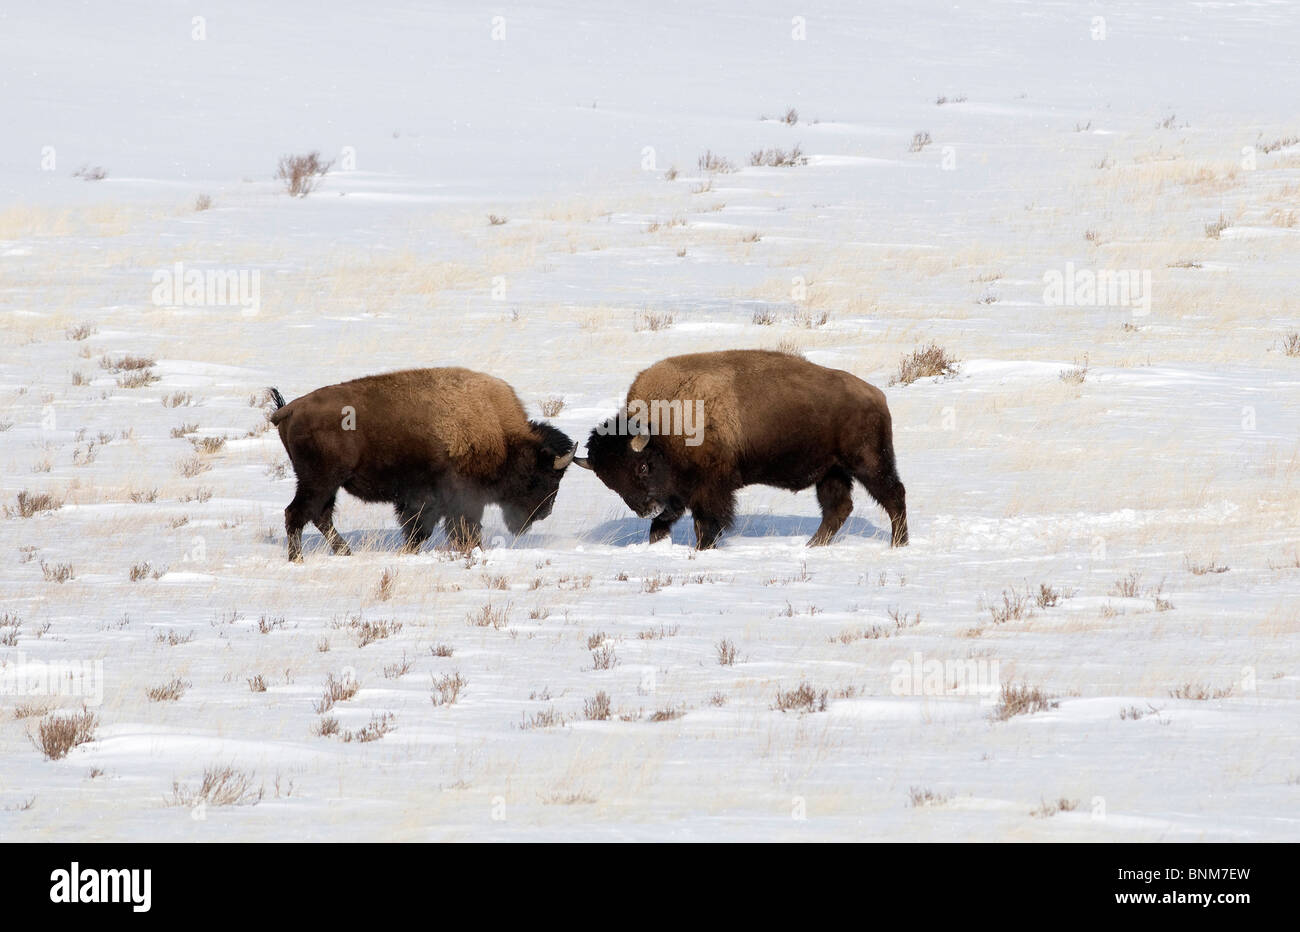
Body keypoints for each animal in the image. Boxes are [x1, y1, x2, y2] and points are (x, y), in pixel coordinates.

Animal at [269, 367, 575, 561]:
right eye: (543, 477)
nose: (545, 512)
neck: (502, 436)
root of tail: (290, 409)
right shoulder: (454, 500)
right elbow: (445, 529)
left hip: (326, 484)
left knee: (320, 515)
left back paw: (344, 553)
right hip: (319, 480)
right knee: (297, 513)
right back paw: (298, 559)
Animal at [575, 350, 907, 548]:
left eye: (642, 466)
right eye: (610, 482)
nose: (646, 509)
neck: (662, 427)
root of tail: (875, 395)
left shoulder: (709, 491)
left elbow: (705, 524)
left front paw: (702, 549)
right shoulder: (678, 494)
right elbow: (663, 525)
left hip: (868, 463)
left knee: (893, 495)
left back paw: (898, 544)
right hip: (831, 471)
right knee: (837, 508)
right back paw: (812, 546)